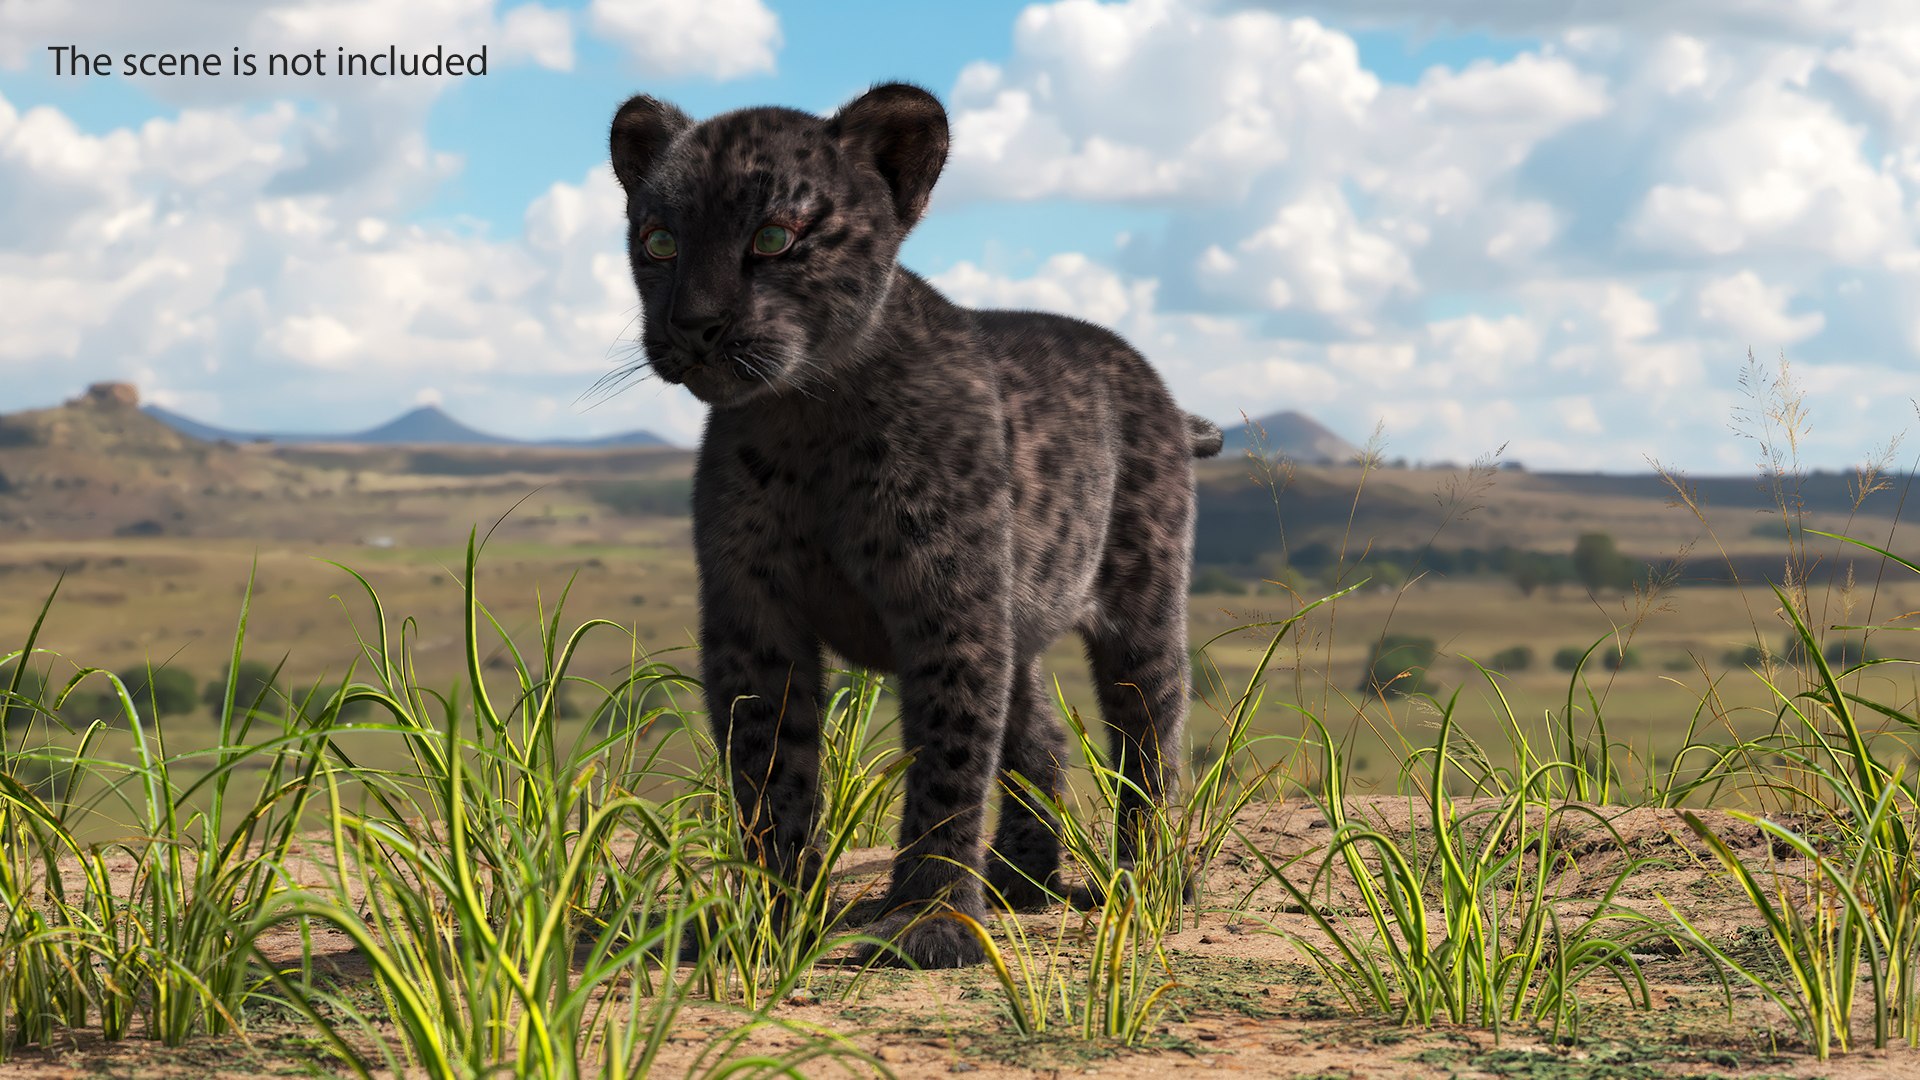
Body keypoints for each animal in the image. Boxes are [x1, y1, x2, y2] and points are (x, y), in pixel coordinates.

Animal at [608, 82, 1223, 969]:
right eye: (658, 242)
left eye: (774, 237)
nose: (693, 324)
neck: (808, 416)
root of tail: (1160, 389)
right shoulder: (753, 615)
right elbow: (768, 771)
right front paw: (769, 918)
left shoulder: (947, 605)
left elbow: (948, 758)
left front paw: (930, 923)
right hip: (1020, 620)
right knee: (1041, 737)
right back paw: (1020, 883)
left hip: (1140, 604)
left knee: (1152, 733)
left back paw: (1149, 880)